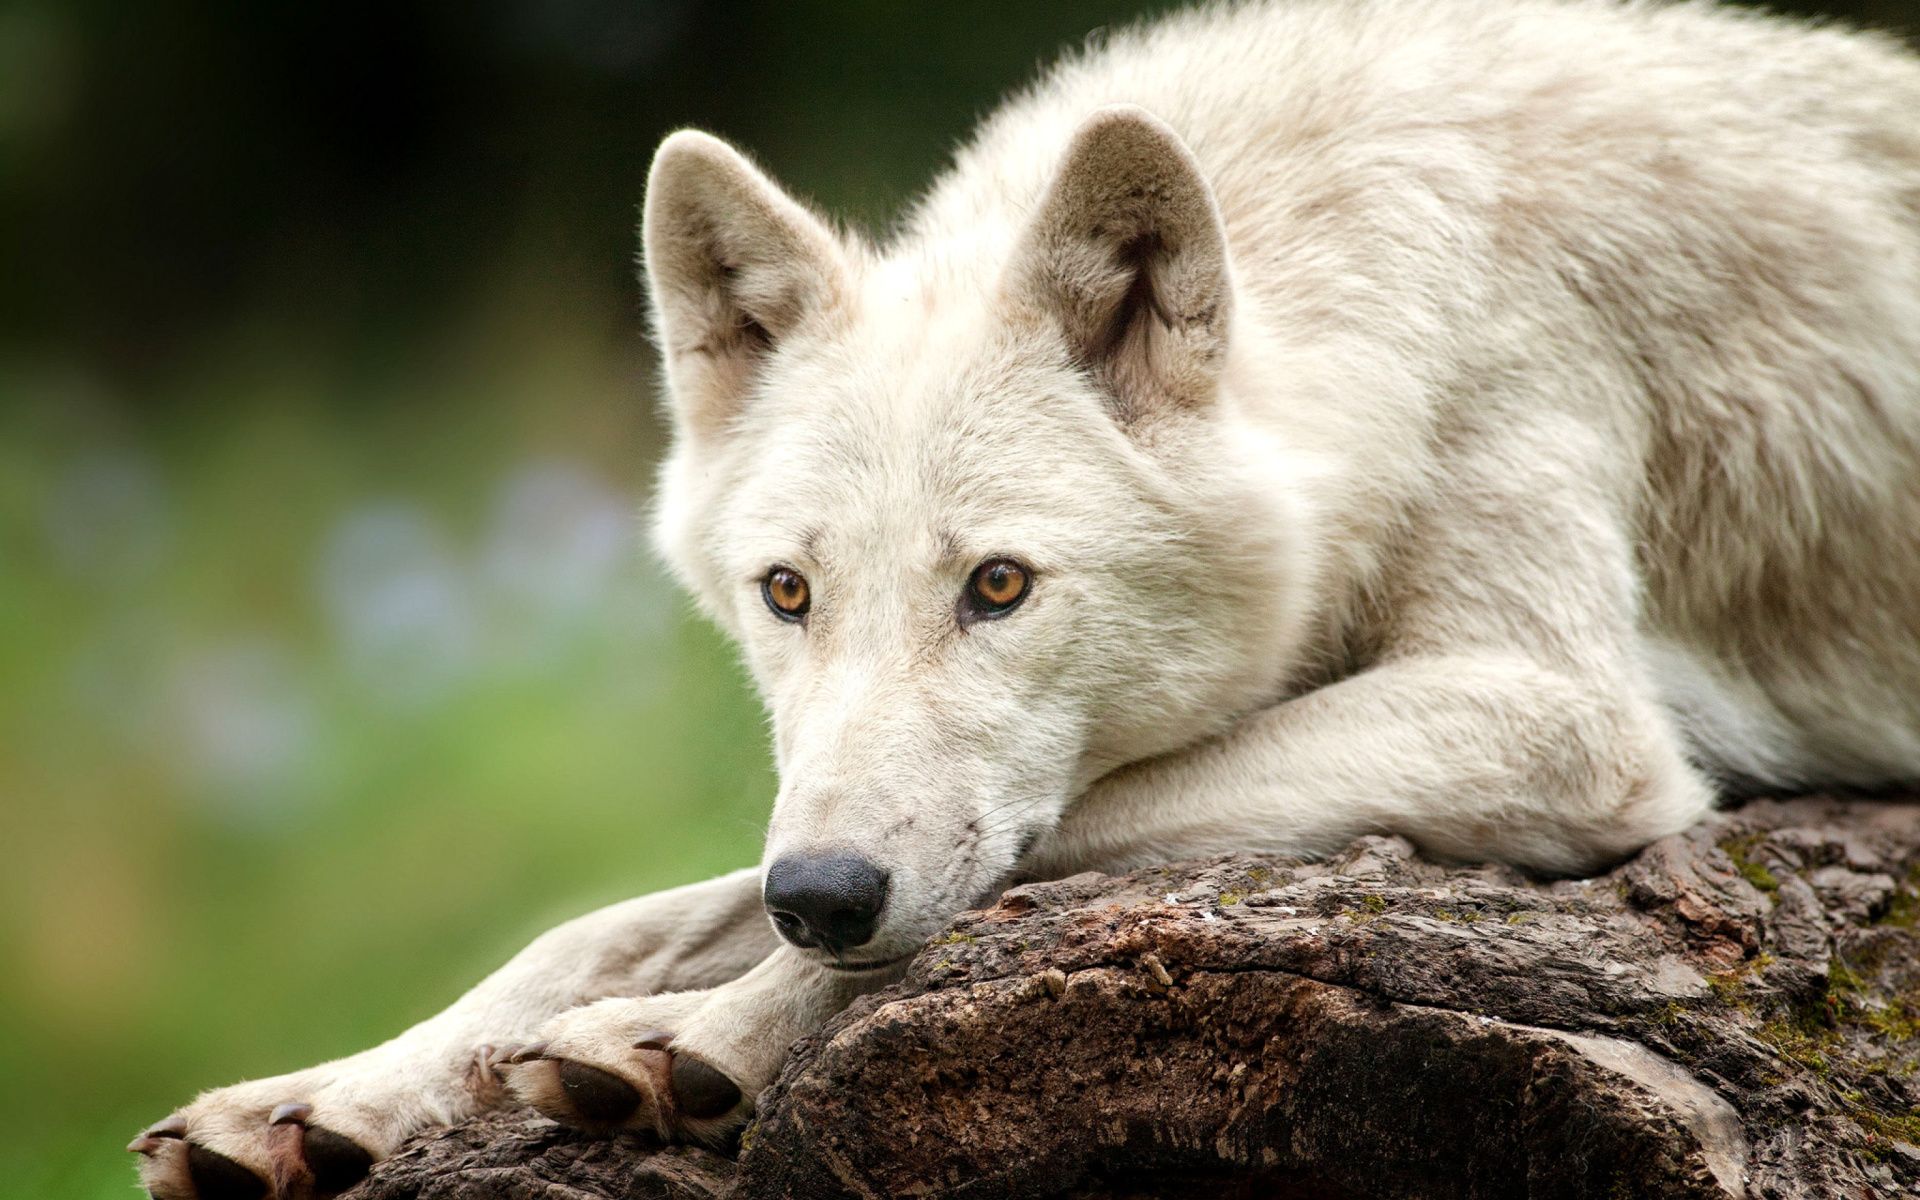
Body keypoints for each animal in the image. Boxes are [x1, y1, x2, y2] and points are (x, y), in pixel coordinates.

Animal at [135, 0, 1920, 1194]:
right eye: (786, 592)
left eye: (999, 586)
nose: (821, 897)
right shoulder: (806, 817)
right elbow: (609, 918)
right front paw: (330, 1096)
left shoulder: (1565, 719)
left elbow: (1053, 838)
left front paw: (706, 1032)